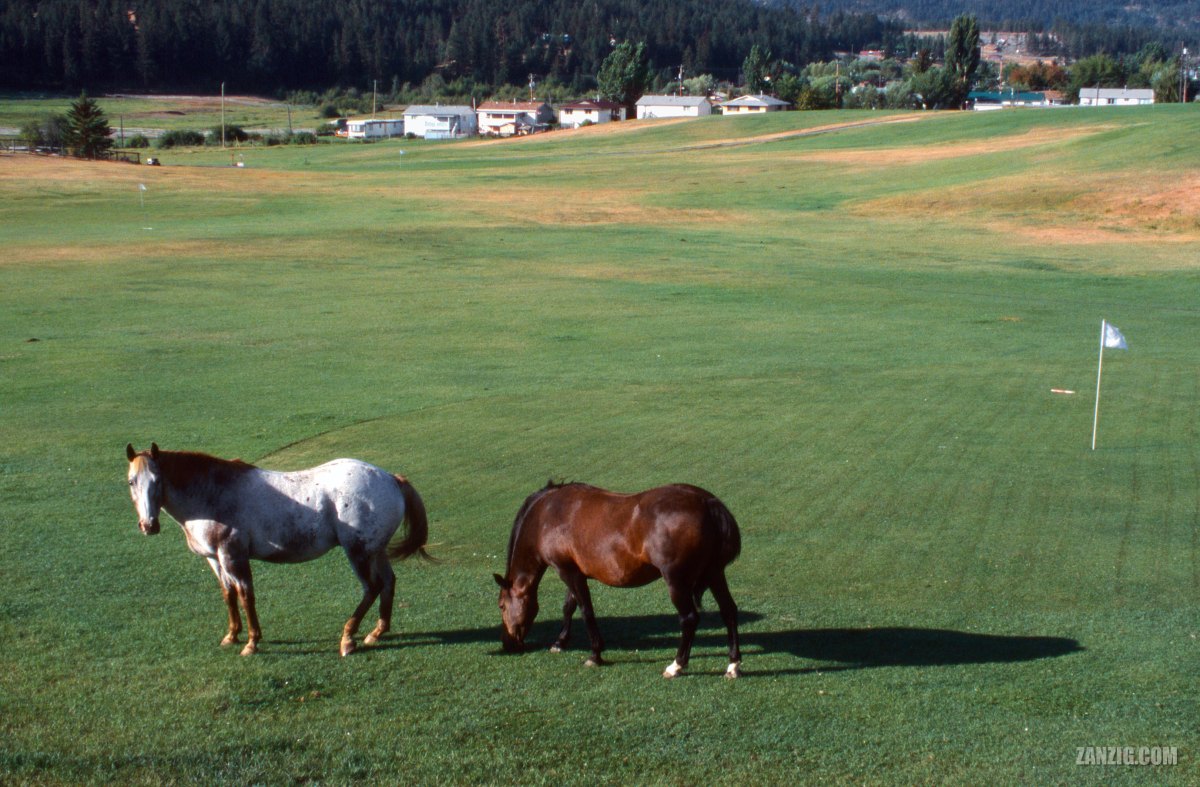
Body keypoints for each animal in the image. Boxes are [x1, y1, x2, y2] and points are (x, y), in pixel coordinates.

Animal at [125, 443, 429, 657]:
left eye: (157, 481)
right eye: (131, 482)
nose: (149, 525)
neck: (211, 493)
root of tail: (390, 478)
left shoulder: (233, 556)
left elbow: (246, 595)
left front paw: (251, 642)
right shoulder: (215, 559)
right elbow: (228, 594)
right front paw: (232, 635)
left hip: (358, 551)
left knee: (372, 587)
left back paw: (348, 638)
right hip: (375, 550)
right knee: (388, 582)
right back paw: (377, 632)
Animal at [494, 481, 743, 679]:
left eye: (502, 605)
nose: (507, 644)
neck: (547, 514)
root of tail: (706, 502)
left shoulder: (567, 572)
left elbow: (586, 610)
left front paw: (595, 653)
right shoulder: (574, 571)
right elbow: (569, 607)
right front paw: (560, 642)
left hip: (676, 580)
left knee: (689, 618)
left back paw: (676, 665)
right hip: (714, 573)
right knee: (729, 611)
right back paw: (733, 664)